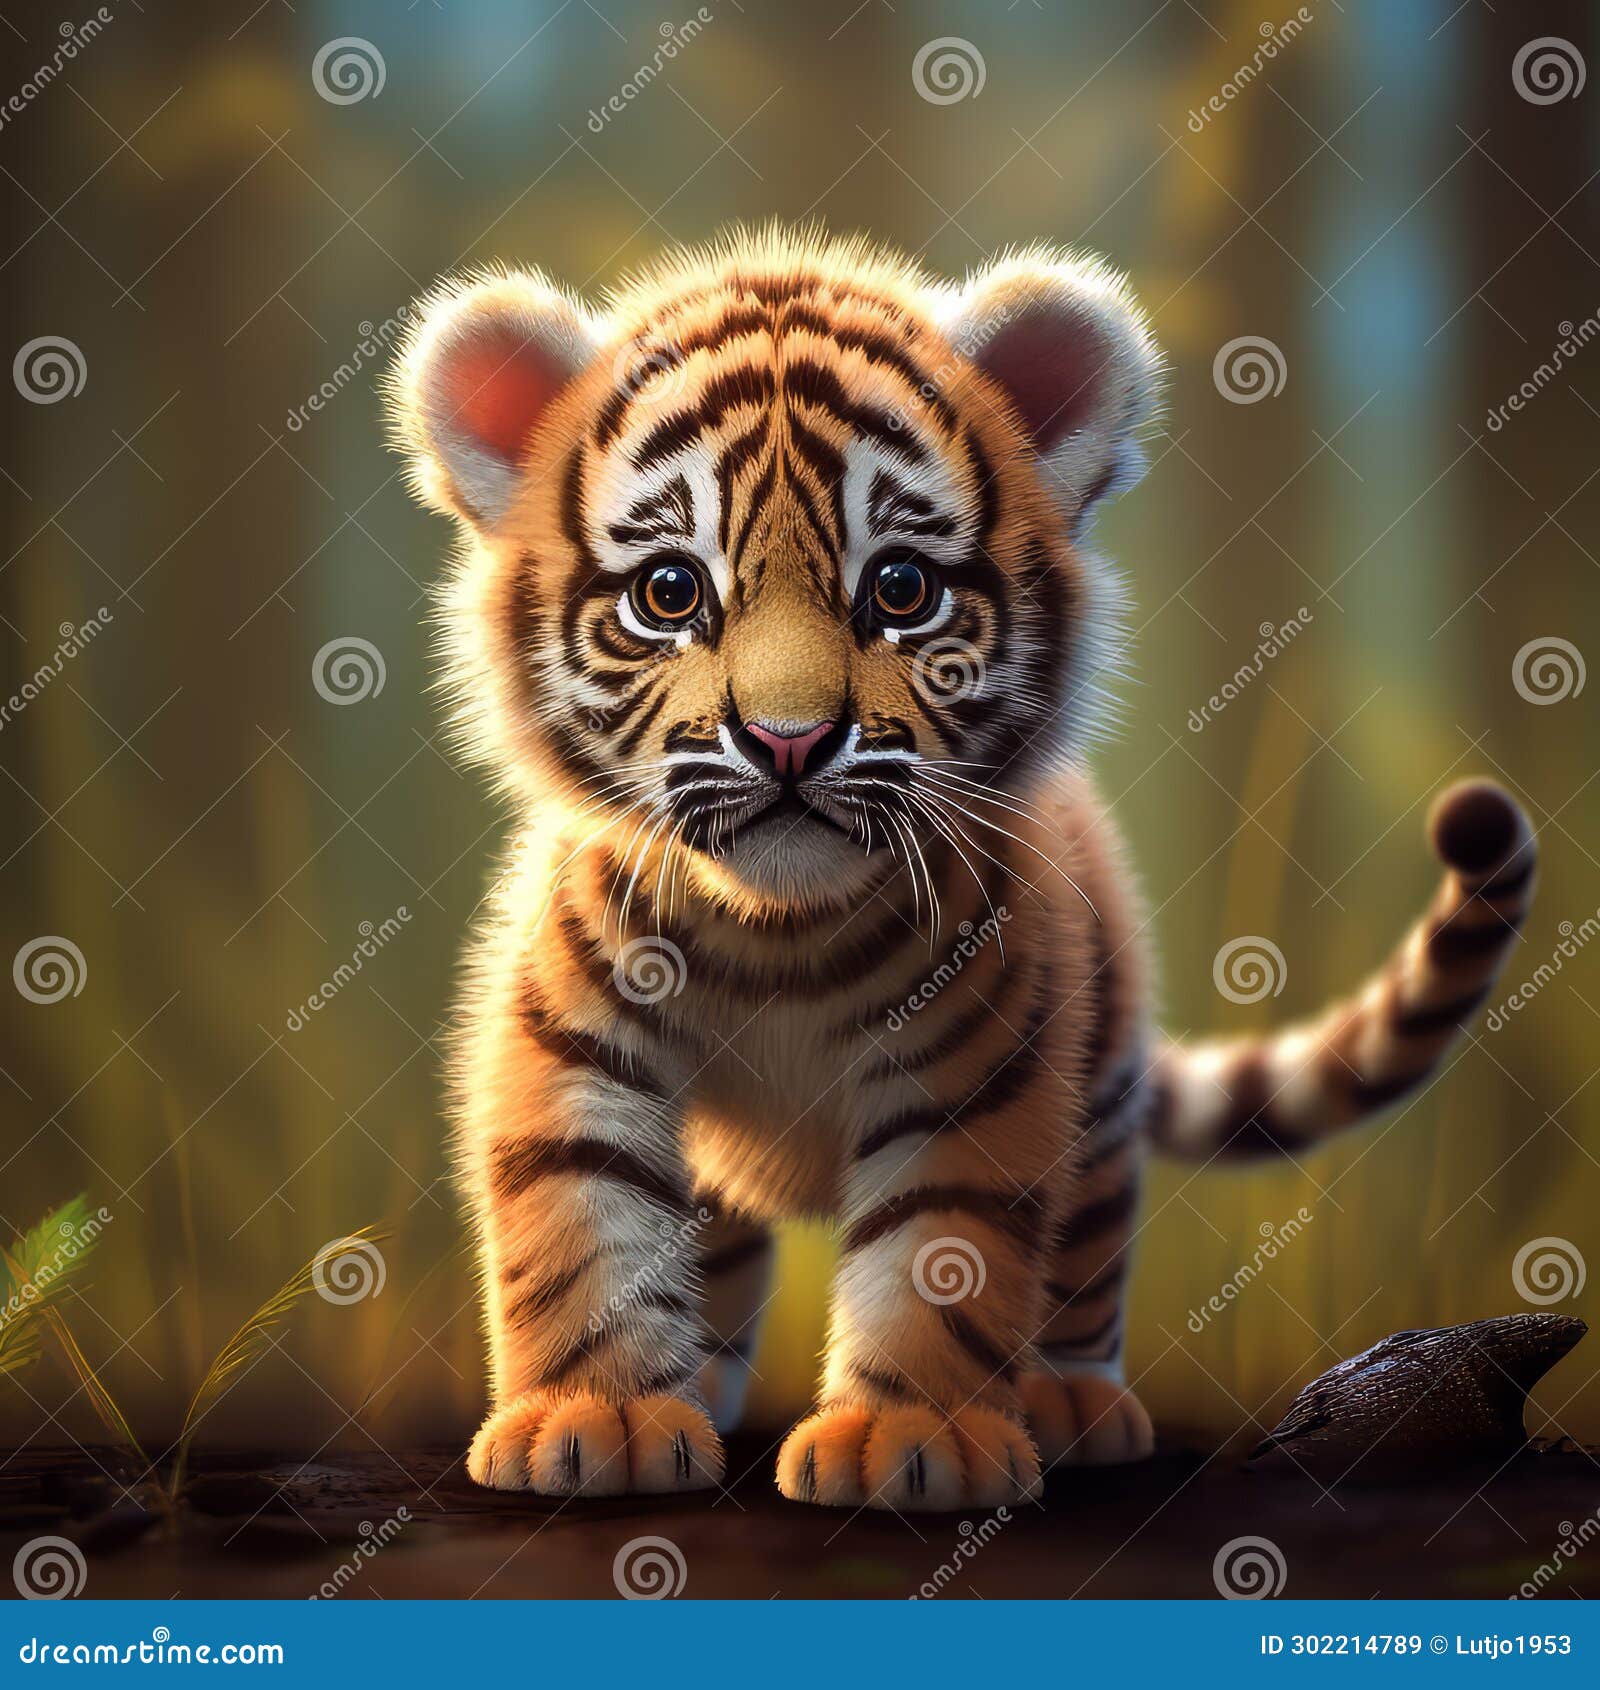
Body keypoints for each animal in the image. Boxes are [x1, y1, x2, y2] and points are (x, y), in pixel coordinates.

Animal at [386, 227, 1536, 1510]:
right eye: (669, 592)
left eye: (900, 587)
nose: (787, 740)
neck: (774, 927)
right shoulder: (574, 1034)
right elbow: (584, 1219)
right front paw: (600, 1420)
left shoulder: (978, 1063)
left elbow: (941, 1250)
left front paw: (910, 1440)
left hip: (1100, 1090)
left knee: (1085, 1246)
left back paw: (1072, 1403)